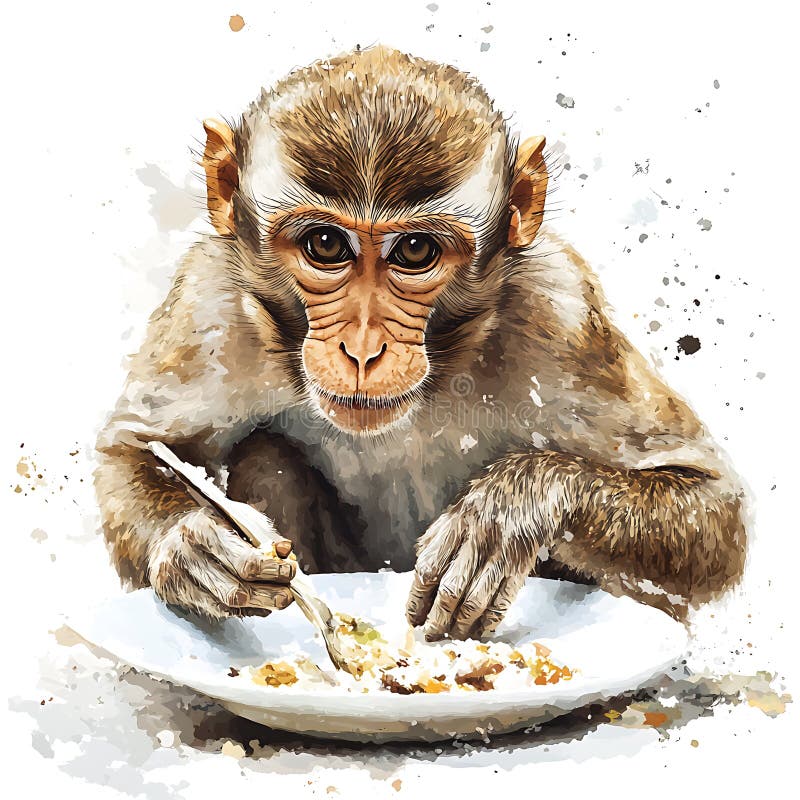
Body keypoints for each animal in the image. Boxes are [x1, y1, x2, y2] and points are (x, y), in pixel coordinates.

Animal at [94, 45, 746, 640]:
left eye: (415, 251)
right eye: (325, 245)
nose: (362, 349)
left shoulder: (563, 315)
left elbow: (713, 500)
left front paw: (506, 512)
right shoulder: (211, 303)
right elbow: (137, 445)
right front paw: (196, 550)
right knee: (264, 452)